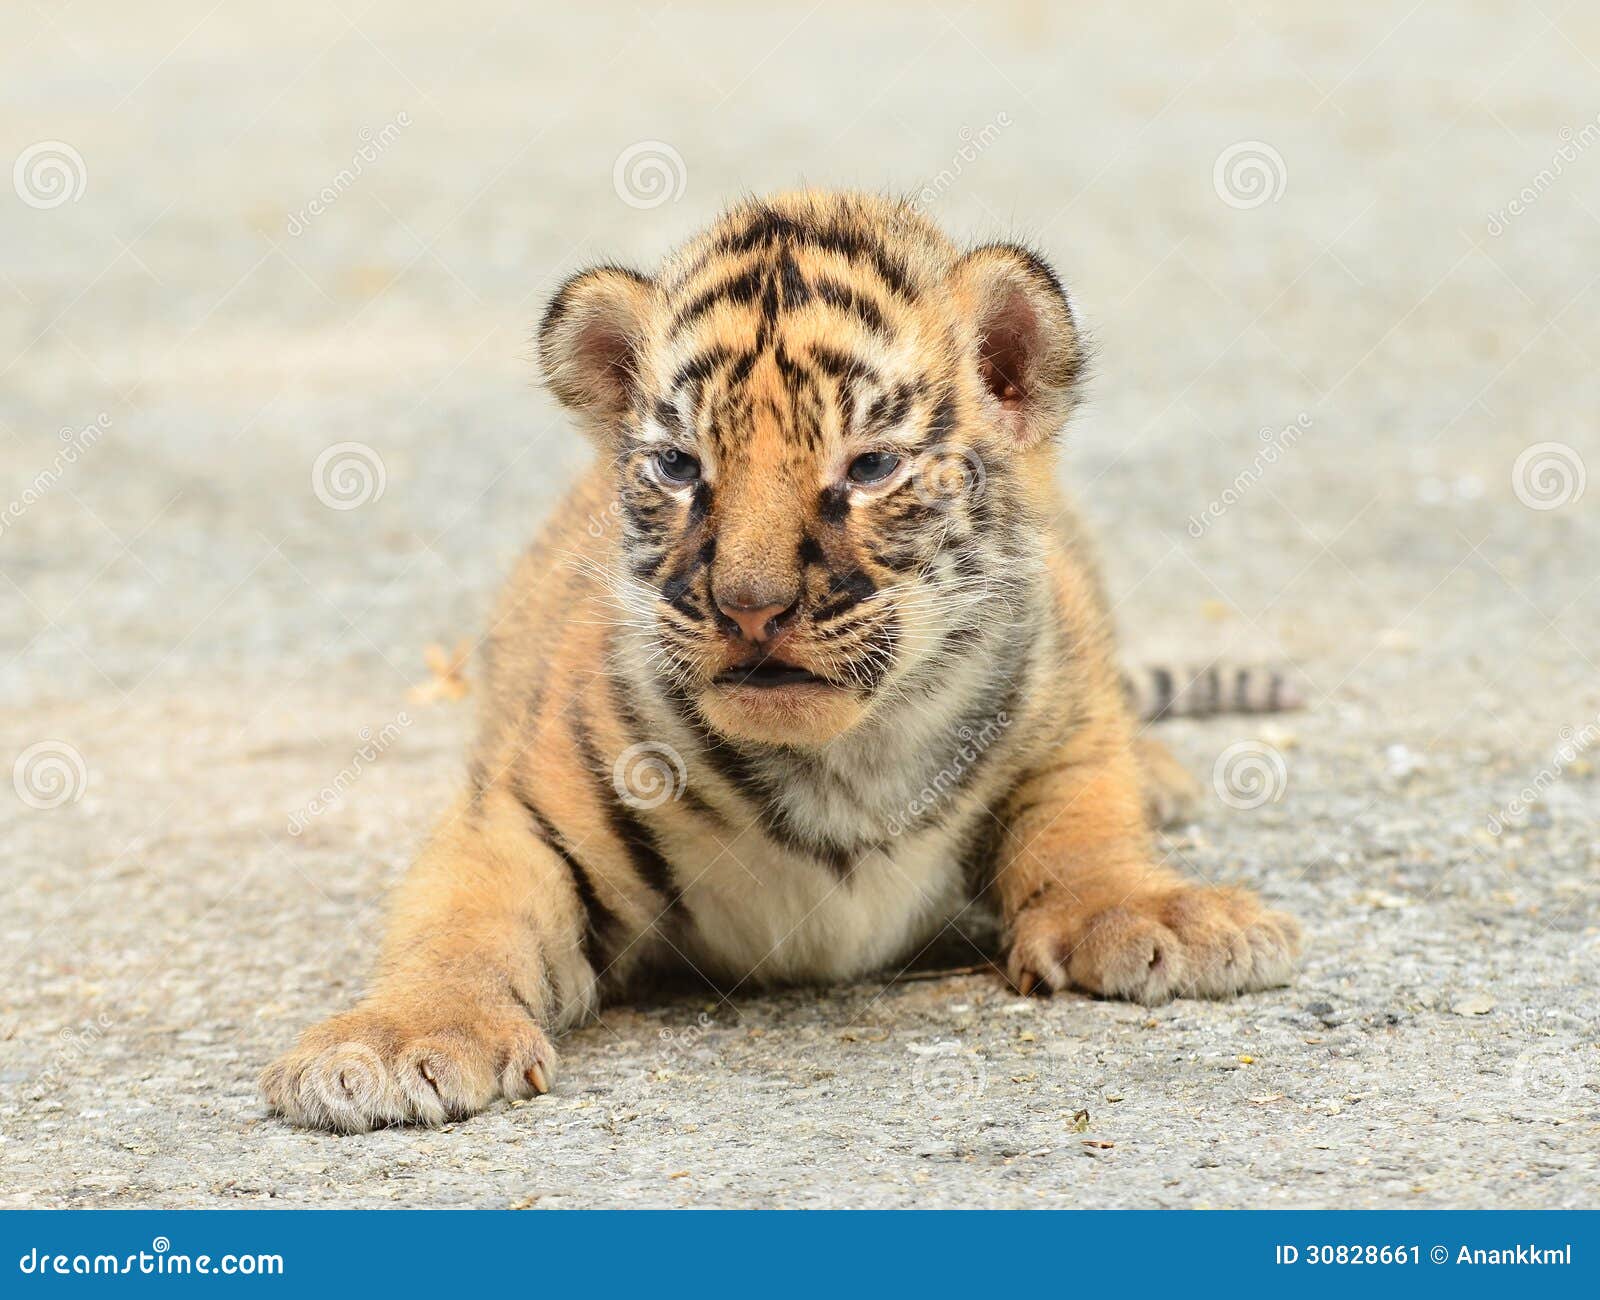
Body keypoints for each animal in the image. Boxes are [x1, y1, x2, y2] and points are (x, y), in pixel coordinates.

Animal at [261, 189, 1302, 1133]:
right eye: (681, 467)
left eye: (871, 465)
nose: (750, 607)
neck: (846, 761)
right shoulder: (518, 811)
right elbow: (460, 924)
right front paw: (397, 1043)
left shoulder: (1059, 720)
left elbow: (1086, 827)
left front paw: (1165, 917)